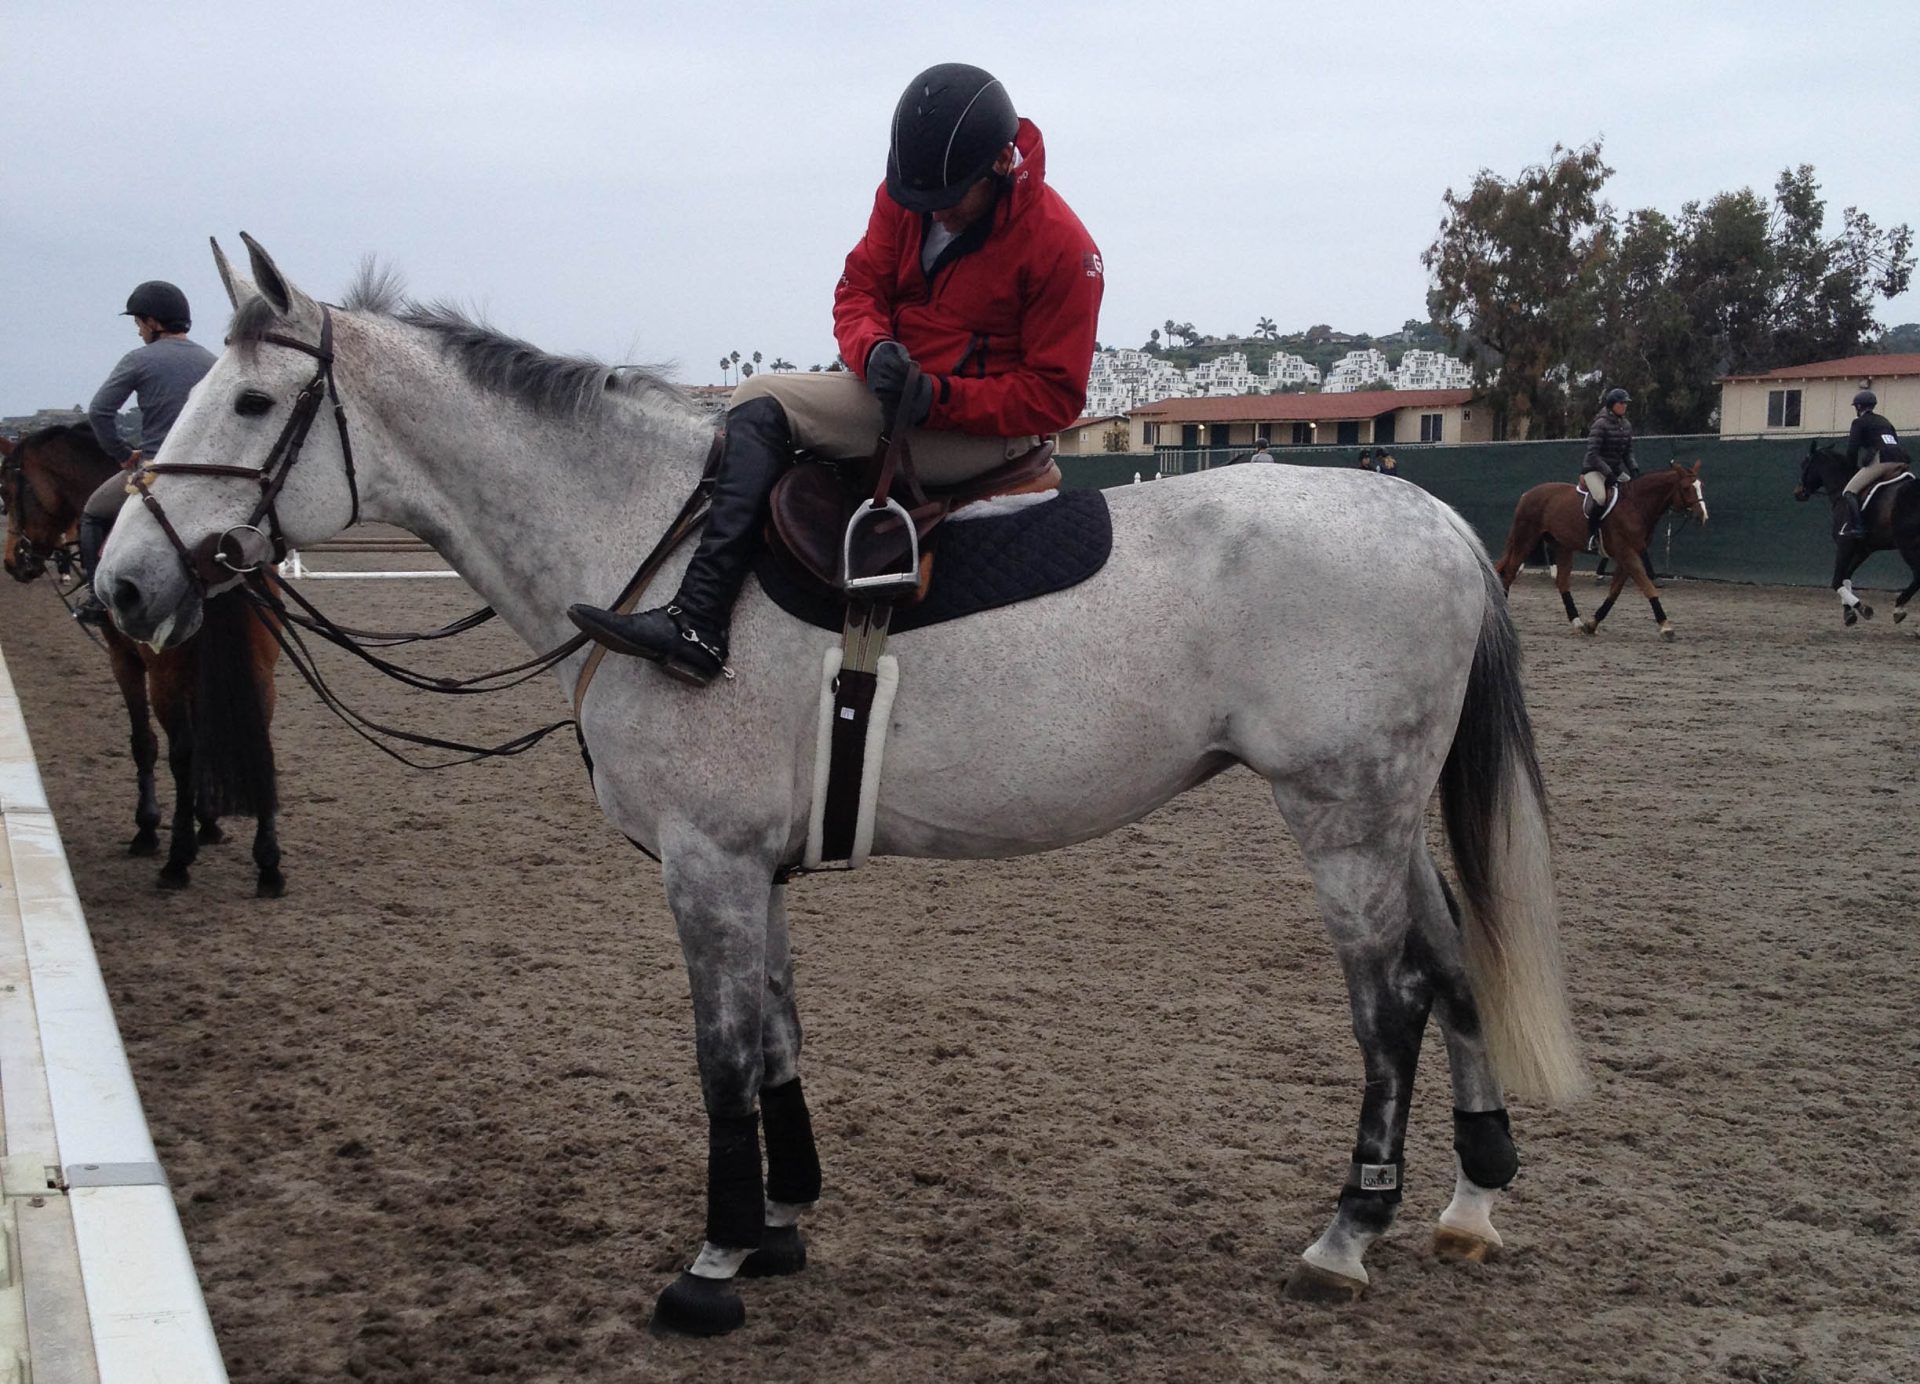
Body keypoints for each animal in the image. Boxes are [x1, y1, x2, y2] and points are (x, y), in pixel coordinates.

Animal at [1, 422, 286, 895]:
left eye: (8, 489)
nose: (13, 562)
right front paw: (209, 823)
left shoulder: (126, 662)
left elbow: (144, 743)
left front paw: (150, 828)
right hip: (261, 672)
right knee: (259, 745)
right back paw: (268, 865)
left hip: (162, 675)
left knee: (178, 752)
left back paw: (176, 860)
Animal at [96, 234, 1584, 1337]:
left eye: (246, 401)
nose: (120, 581)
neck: (655, 550)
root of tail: (1435, 519)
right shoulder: (749, 867)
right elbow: (776, 1037)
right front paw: (776, 1223)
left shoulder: (702, 863)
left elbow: (719, 1056)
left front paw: (711, 1262)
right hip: (1383, 825)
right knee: (1454, 966)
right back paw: (1472, 1197)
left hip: (1340, 825)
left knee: (1392, 1005)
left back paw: (1351, 1226)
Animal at [1493, 462, 1708, 639]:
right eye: (1686, 487)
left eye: (1701, 486)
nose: (1702, 517)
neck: (1636, 505)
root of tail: (1527, 494)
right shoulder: (1627, 553)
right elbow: (1647, 586)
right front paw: (1665, 626)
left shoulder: (1628, 555)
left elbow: (1614, 592)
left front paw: (1592, 623)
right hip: (1525, 541)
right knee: (1509, 574)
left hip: (1561, 546)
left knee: (1562, 582)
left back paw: (1577, 623)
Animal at [1793, 441, 1920, 626]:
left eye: (1804, 464)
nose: (1798, 492)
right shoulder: (1863, 549)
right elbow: (1846, 576)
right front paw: (1849, 613)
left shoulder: (1845, 544)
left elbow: (1836, 580)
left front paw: (1861, 608)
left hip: (1908, 545)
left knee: (1918, 575)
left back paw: (1899, 607)